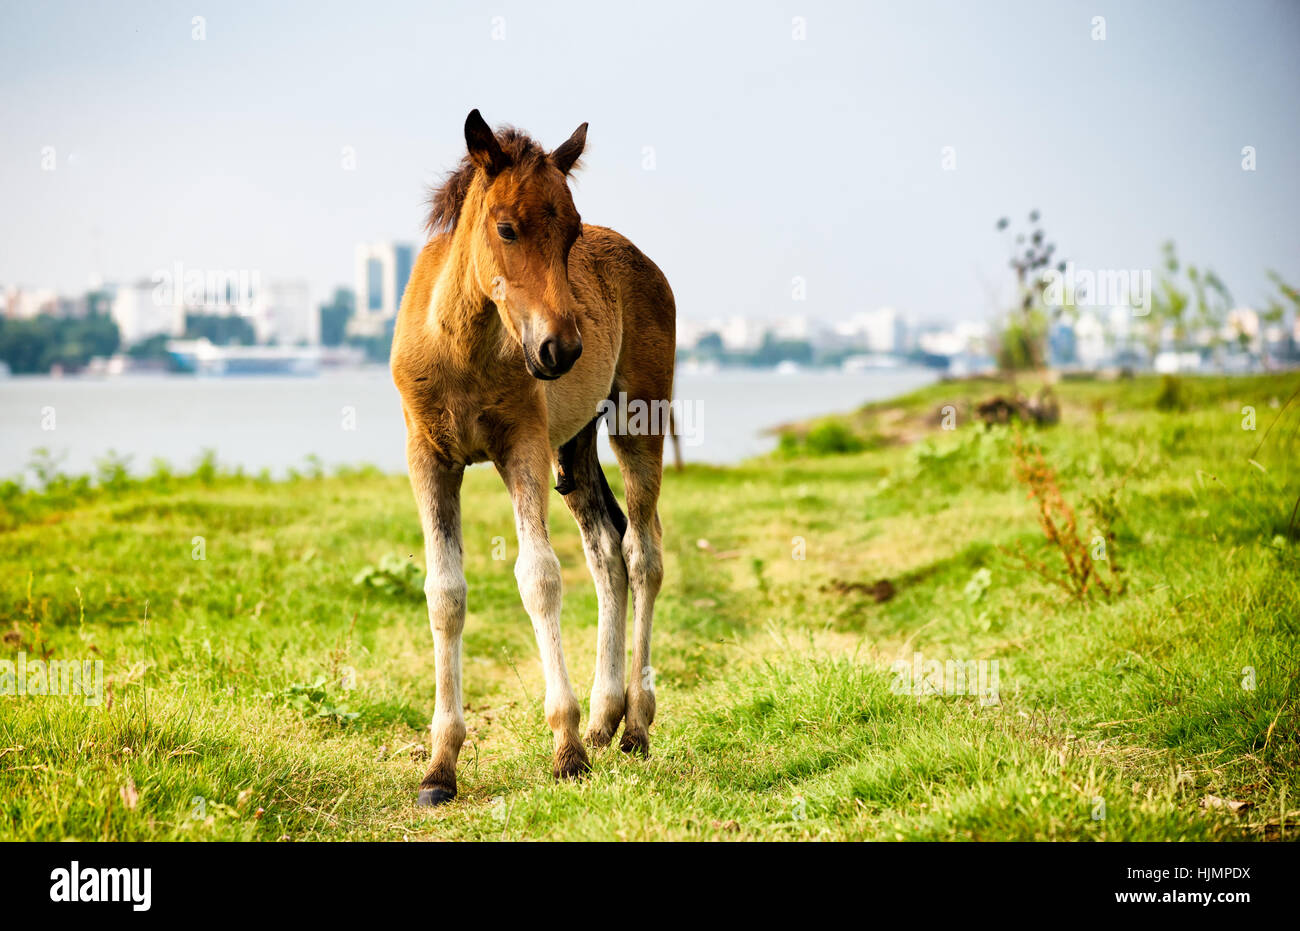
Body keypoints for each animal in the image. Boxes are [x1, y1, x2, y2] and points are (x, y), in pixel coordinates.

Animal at [390, 110, 675, 805]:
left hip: (638, 418)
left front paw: (566, 750)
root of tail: (646, 261)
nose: (562, 350)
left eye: (571, 232)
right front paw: (439, 768)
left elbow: (540, 577)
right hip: (574, 448)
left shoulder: (522, 445)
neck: (462, 346)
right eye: (506, 227)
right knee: (606, 548)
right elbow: (444, 592)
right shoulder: (427, 456)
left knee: (642, 551)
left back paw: (633, 726)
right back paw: (604, 717)